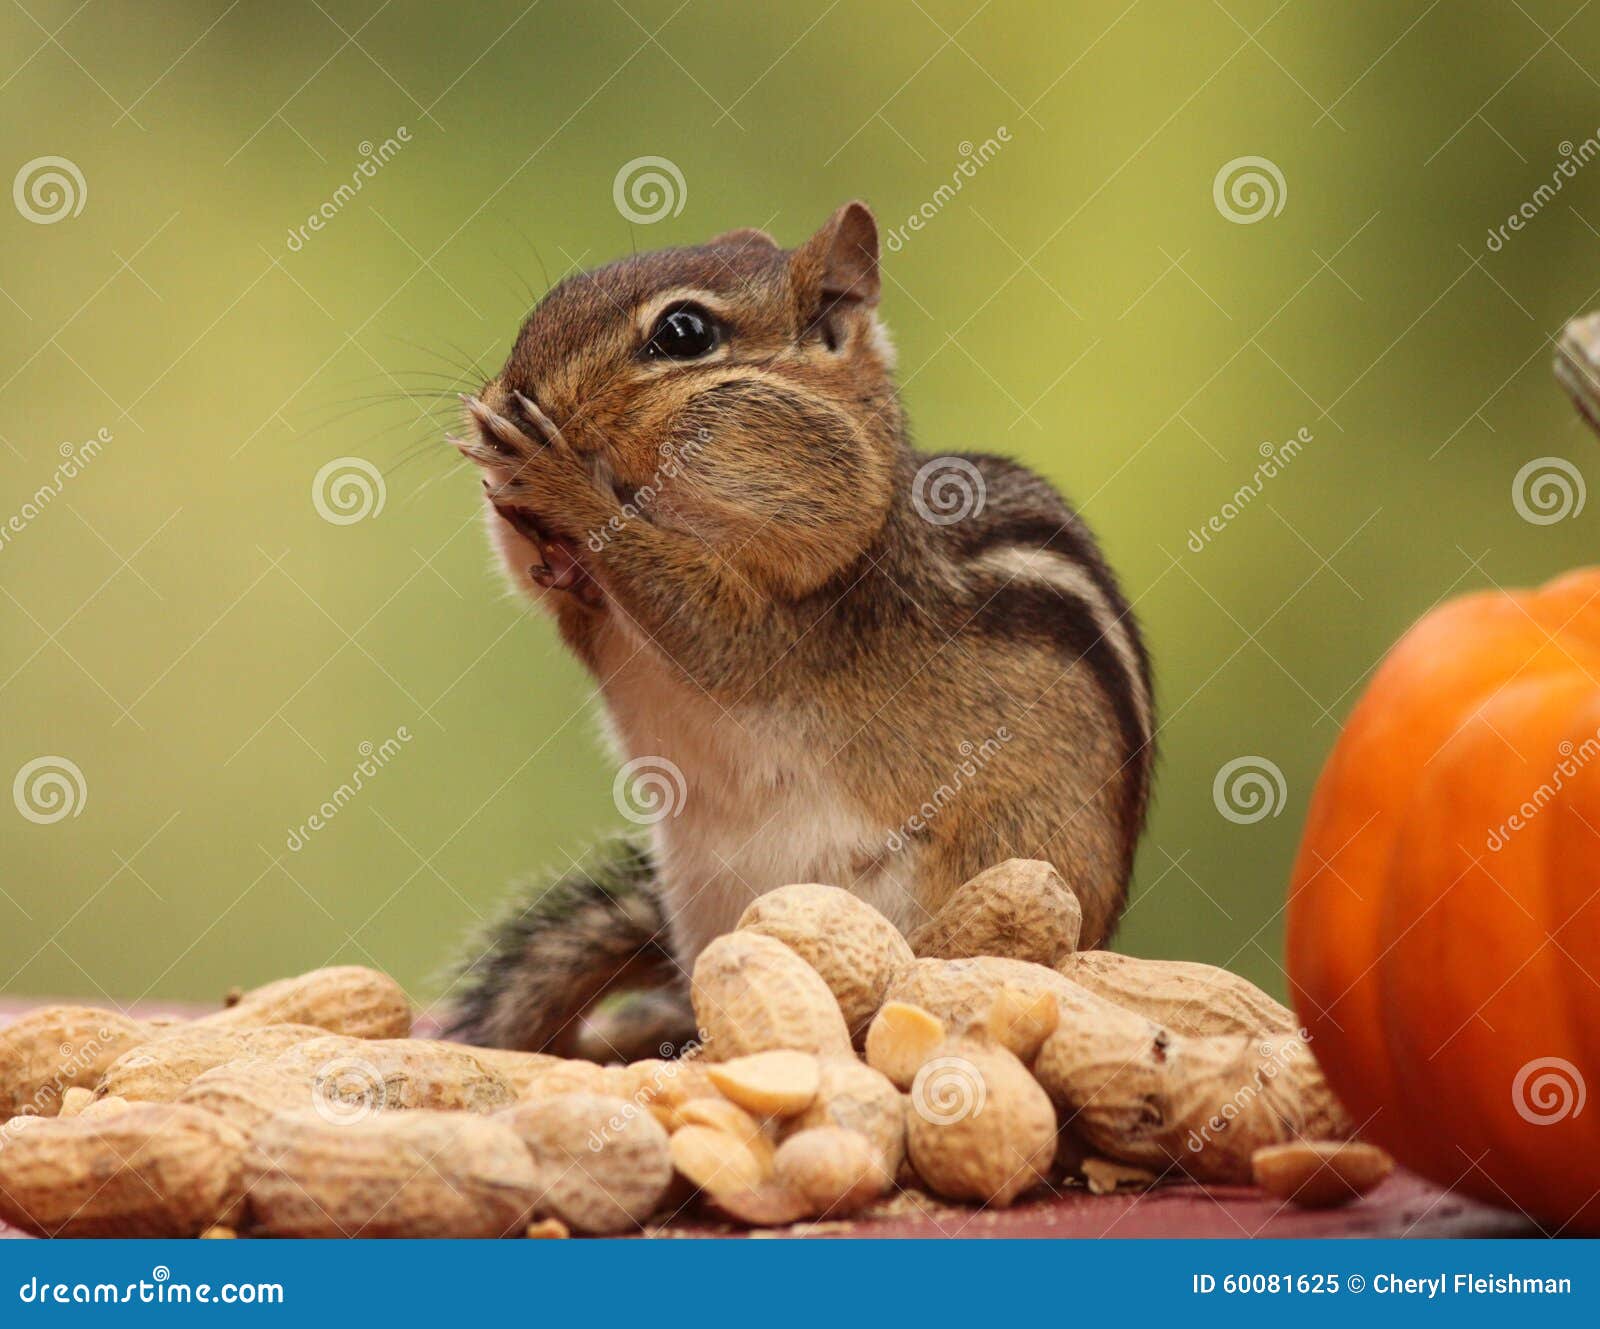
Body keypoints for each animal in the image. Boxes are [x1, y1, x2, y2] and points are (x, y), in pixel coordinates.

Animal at [440, 202, 1153, 1059]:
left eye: (682, 333)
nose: (515, 388)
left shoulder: (812, 615)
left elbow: (708, 627)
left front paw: (556, 476)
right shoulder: (597, 621)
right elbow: (557, 591)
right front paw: (498, 462)